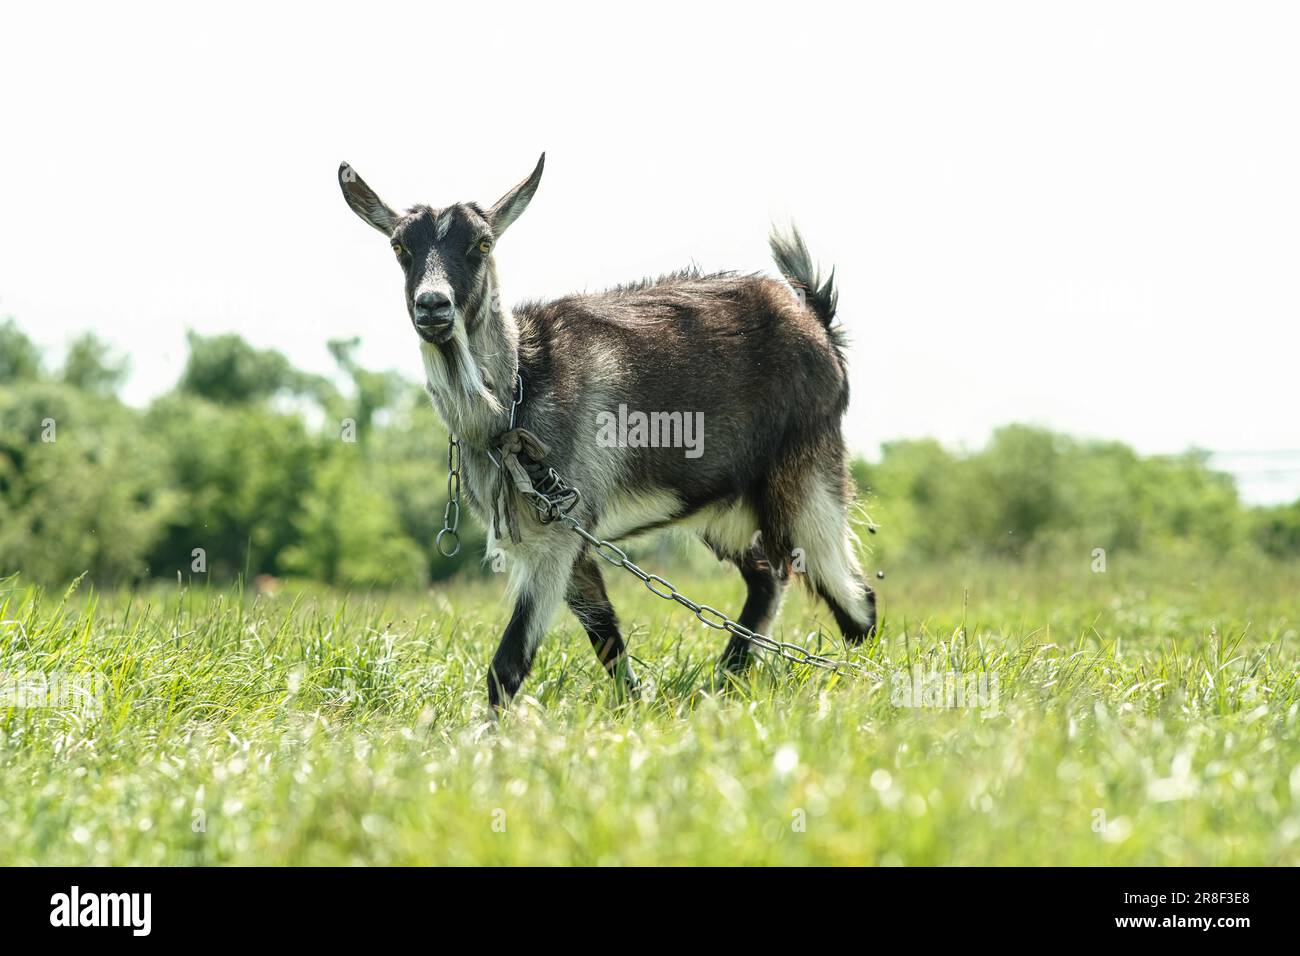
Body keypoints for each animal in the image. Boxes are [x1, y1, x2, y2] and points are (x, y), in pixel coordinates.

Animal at [338, 155, 876, 708]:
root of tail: (817, 320)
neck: (516, 394)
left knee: (856, 599)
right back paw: (724, 681)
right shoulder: (564, 536)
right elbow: (606, 636)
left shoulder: (555, 538)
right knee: (768, 578)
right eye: (400, 247)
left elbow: (508, 665)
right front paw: (635, 707)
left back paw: (862, 686)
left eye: (482, 244)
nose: (433, 306)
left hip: (808, 480)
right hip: (723, 507)